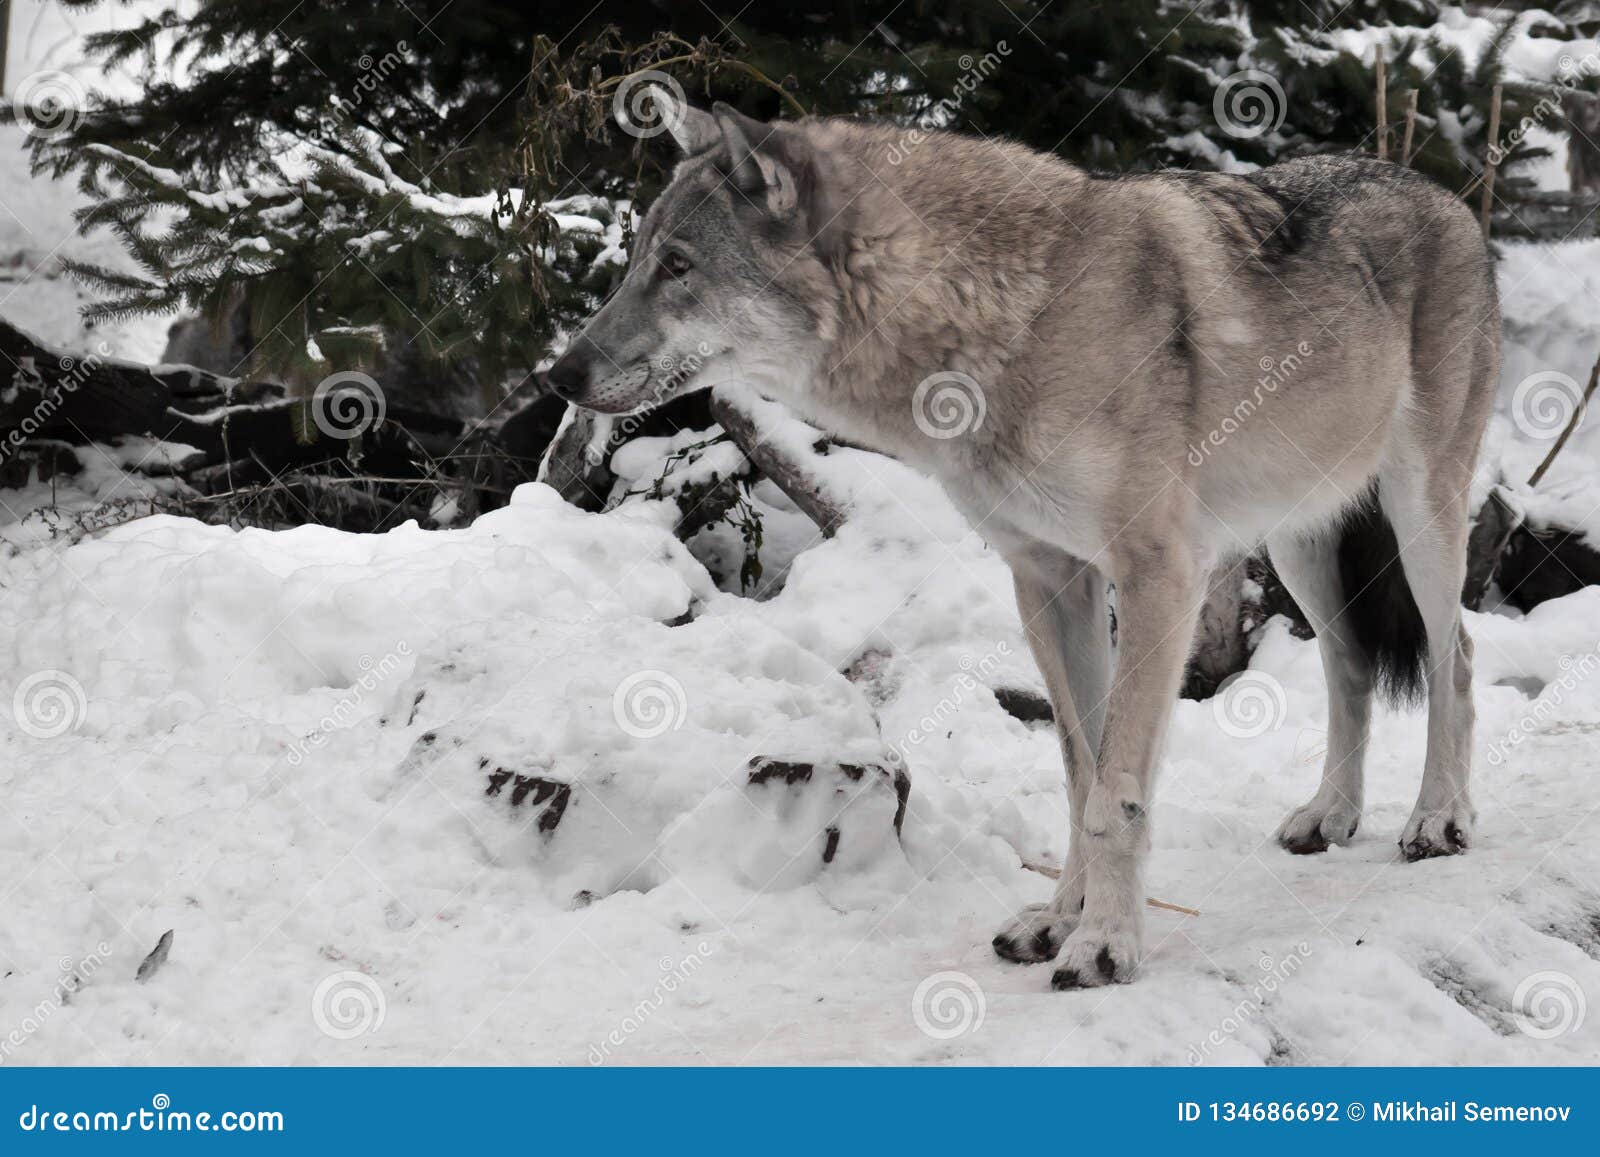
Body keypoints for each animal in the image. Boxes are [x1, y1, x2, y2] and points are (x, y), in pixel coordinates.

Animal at [547, 91, 1499, 988]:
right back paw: (1329, 814)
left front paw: (1107, 945)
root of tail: (1441, 192)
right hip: (1299, 542)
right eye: (637, 261)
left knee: (1454, 652)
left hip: (1418, 518)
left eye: (677, 267)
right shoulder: (1048, 577)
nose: (558, 373)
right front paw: (1058, 919)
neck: (1009, 318)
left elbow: (1118, 793)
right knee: (1351, 665)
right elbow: (1081, 771)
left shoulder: (1157, 575)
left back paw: (1439, 818)